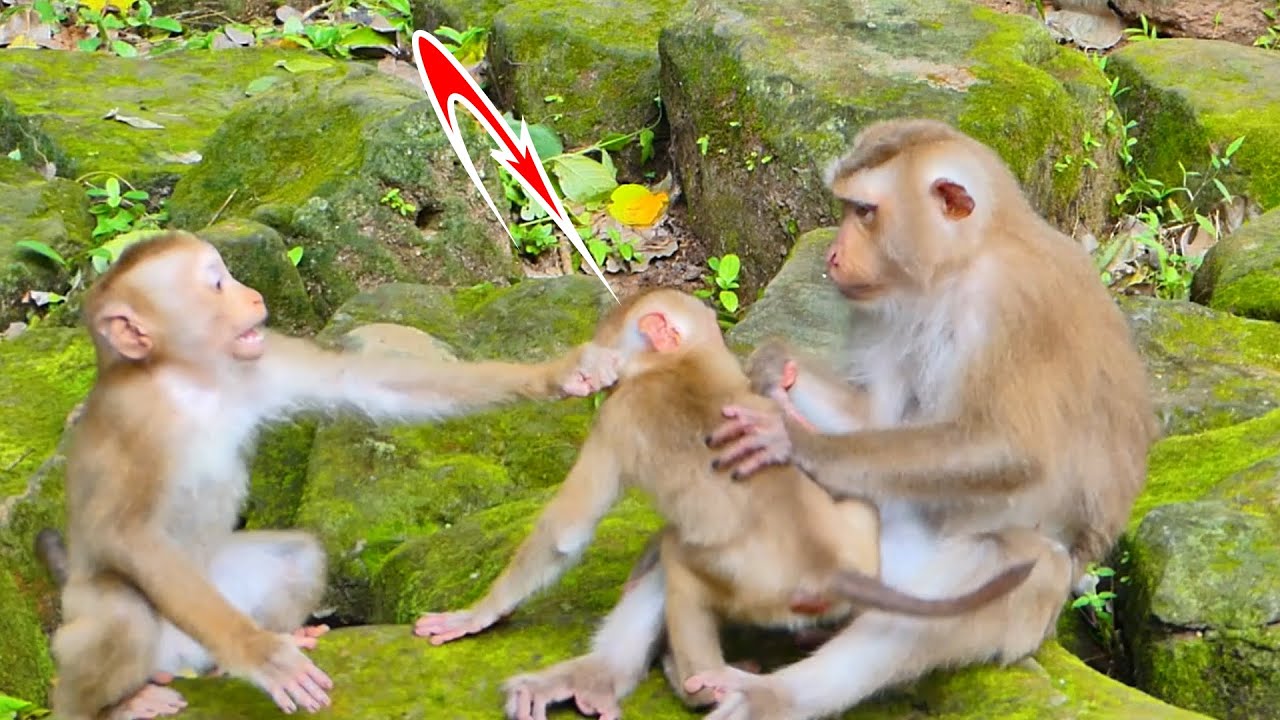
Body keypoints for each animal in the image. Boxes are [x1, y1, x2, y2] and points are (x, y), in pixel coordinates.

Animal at [48, 230, 617, 720]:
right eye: (216, 284)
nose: (253, 297)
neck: (191, 379)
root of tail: (181, 658)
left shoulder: (261, 359)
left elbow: (367, 382)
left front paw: (561, 374)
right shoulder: (136, 420)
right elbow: (128, 534)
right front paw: (264, 657)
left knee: (296, 556)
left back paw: (272, 642)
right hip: (123, 613)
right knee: (122, 615)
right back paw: (118, 702)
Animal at [415, 287, 1038, 711]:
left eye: (610, 340)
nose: (599, 370)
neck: (682, 362)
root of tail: (829, 568)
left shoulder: (617, 416)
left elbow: (567, 531)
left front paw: (475, 615)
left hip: (758, 590)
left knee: (680, 557)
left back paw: (699, 684)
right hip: (863, 544)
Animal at [498, 118, 1159, 720]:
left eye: (864, 211)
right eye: (847, 208)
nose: (835, 254)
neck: (960, 266)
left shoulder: (1013, 307)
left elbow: (1012, 450)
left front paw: (790, 440)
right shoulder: (885, 306)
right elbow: (874, 413)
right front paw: (772, 373)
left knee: (1010, 570)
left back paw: (773, 697)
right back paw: (599, 675)